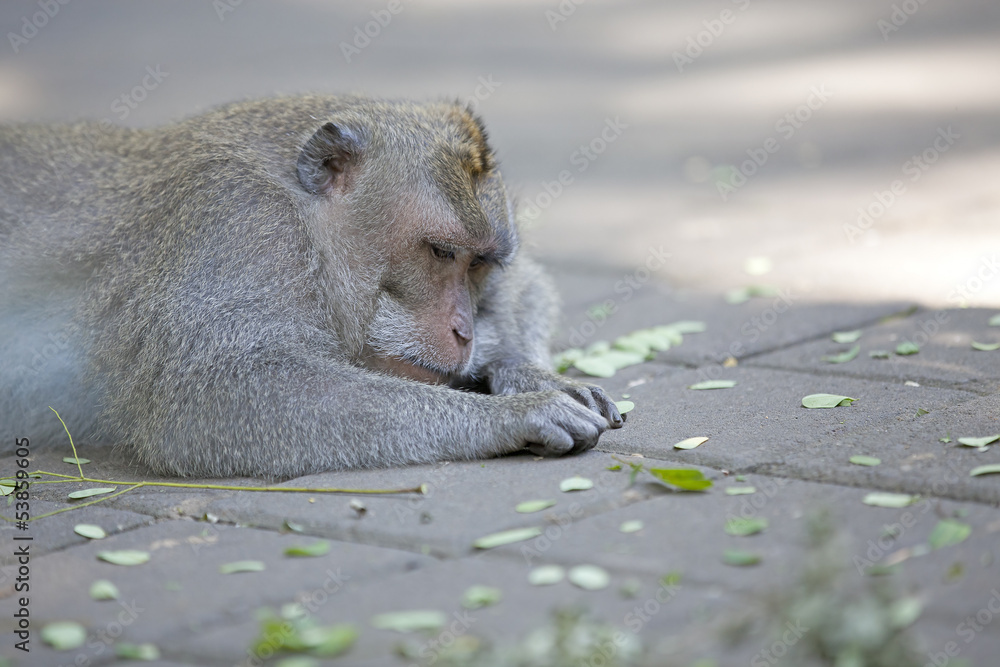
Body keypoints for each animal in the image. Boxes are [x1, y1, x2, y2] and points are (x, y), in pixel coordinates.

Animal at [0, 95, 623, 478]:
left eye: (480, 265)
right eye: (441, 252)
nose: (463, 330)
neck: (305, 223)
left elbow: (529, 286)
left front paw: (528, 373)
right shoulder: (238, 226)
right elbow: (207, 399)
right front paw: (517, 413)